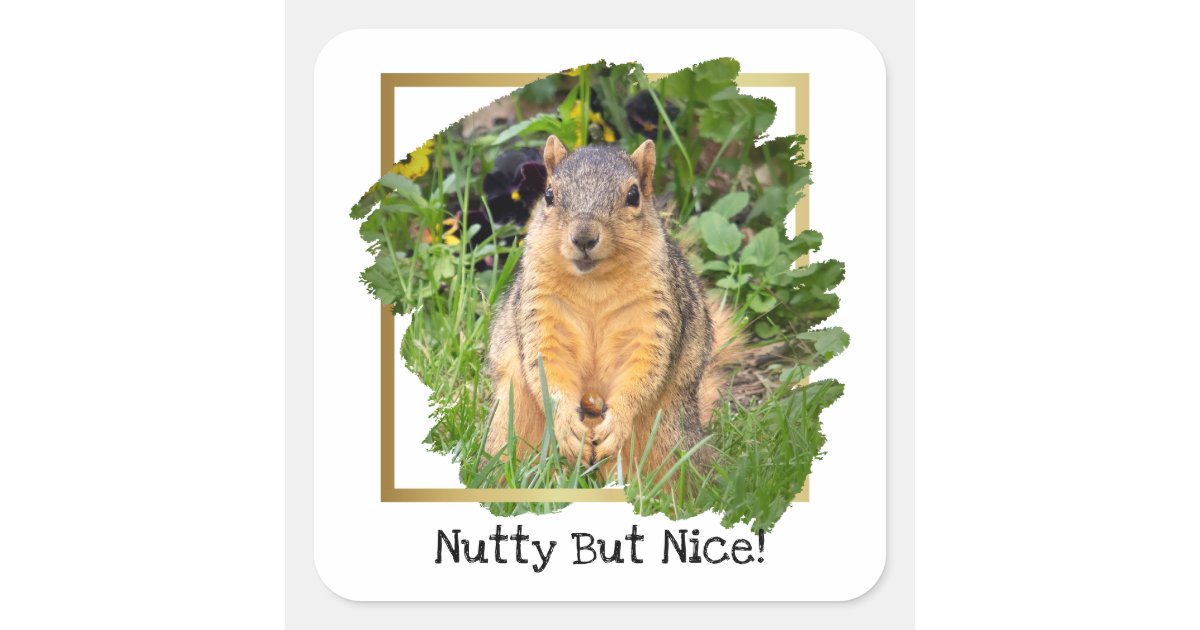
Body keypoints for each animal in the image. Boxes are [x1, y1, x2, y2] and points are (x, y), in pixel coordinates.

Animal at [484, 135, 743, 482]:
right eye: (549, 194)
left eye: (633, 195)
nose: (584, 237)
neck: (594, 284)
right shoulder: (541, 311)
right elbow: (546, 366)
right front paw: (566, 424)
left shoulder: (654, 314)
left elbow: (644, 367)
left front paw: (618, 421)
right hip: (512, 421)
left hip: (667, 437)